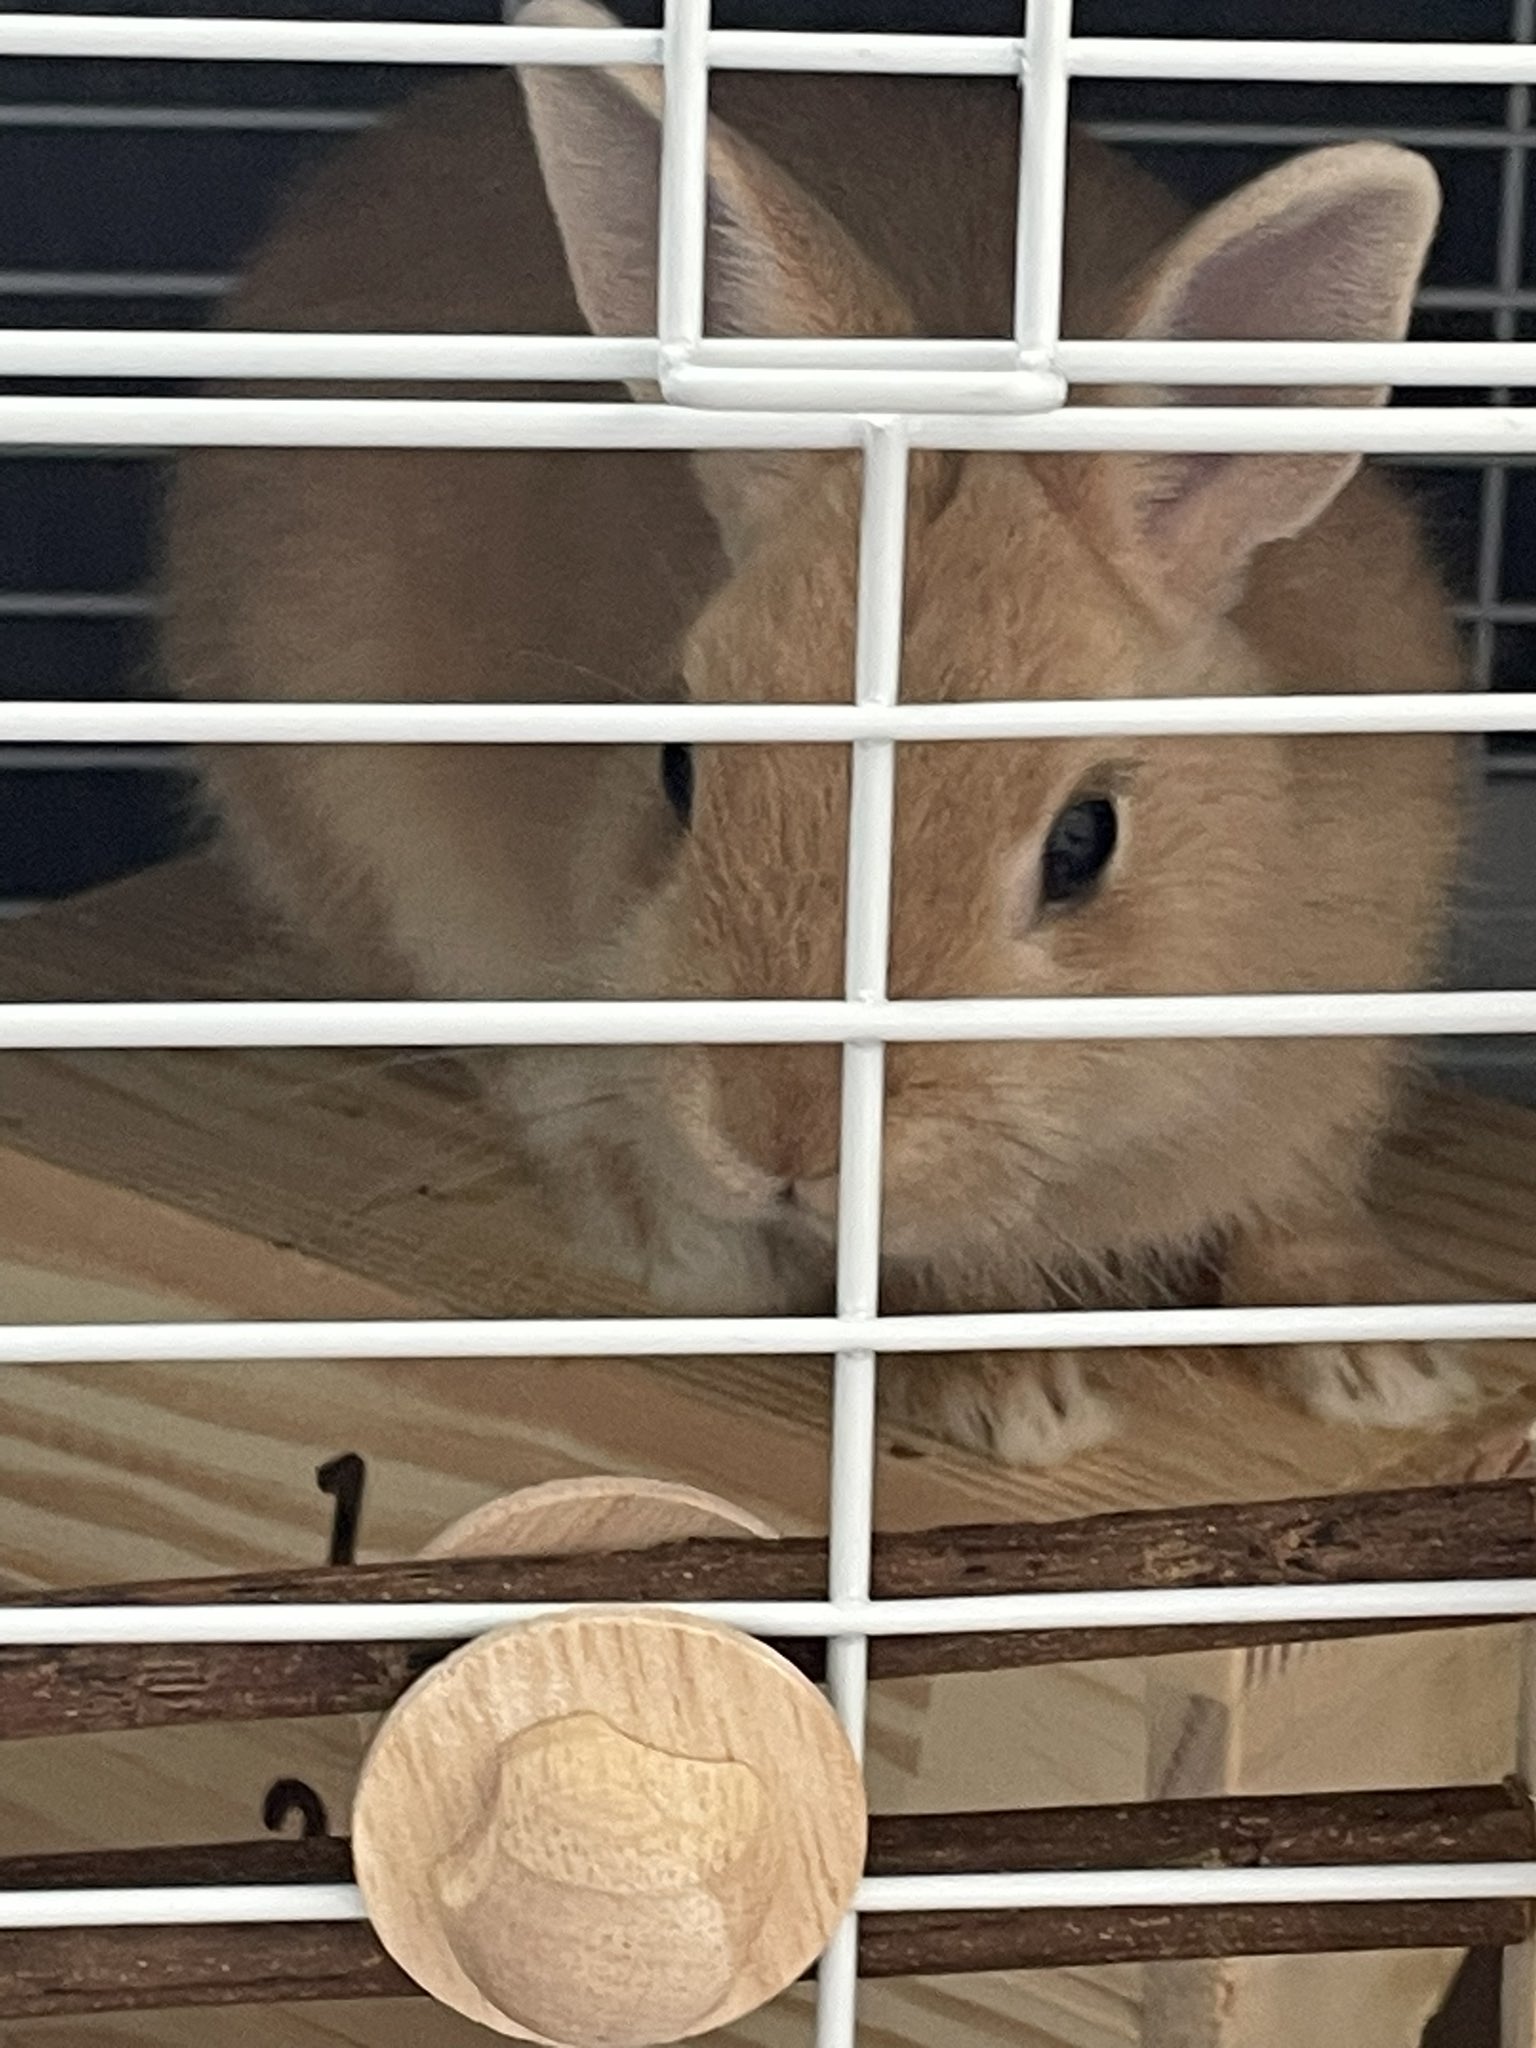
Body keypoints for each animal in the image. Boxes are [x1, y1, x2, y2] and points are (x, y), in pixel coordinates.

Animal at [163, 0, 1471, 1468]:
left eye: (1085, 841)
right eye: (679, 770)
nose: (778, 1142)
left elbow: (1306, 1211)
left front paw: (1384, 1359)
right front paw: (1016, 1398)